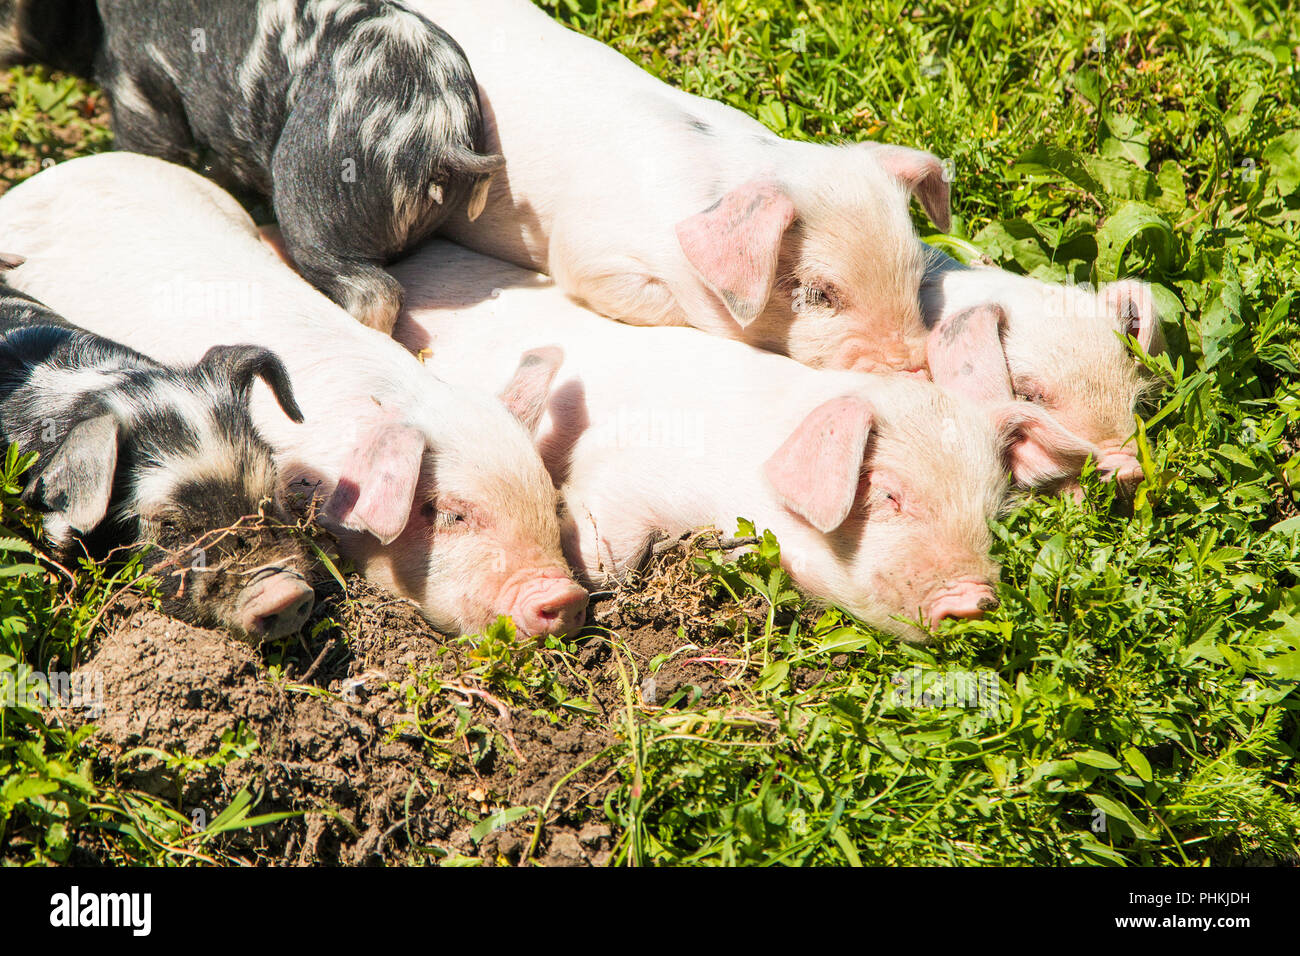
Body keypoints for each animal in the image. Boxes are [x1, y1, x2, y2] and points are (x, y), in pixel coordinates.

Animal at [379, 241, 1082, 643]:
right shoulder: (620, 472)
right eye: (887, 494)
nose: (974, 601)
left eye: (991, 513)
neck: (747, 474)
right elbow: (608, 545)